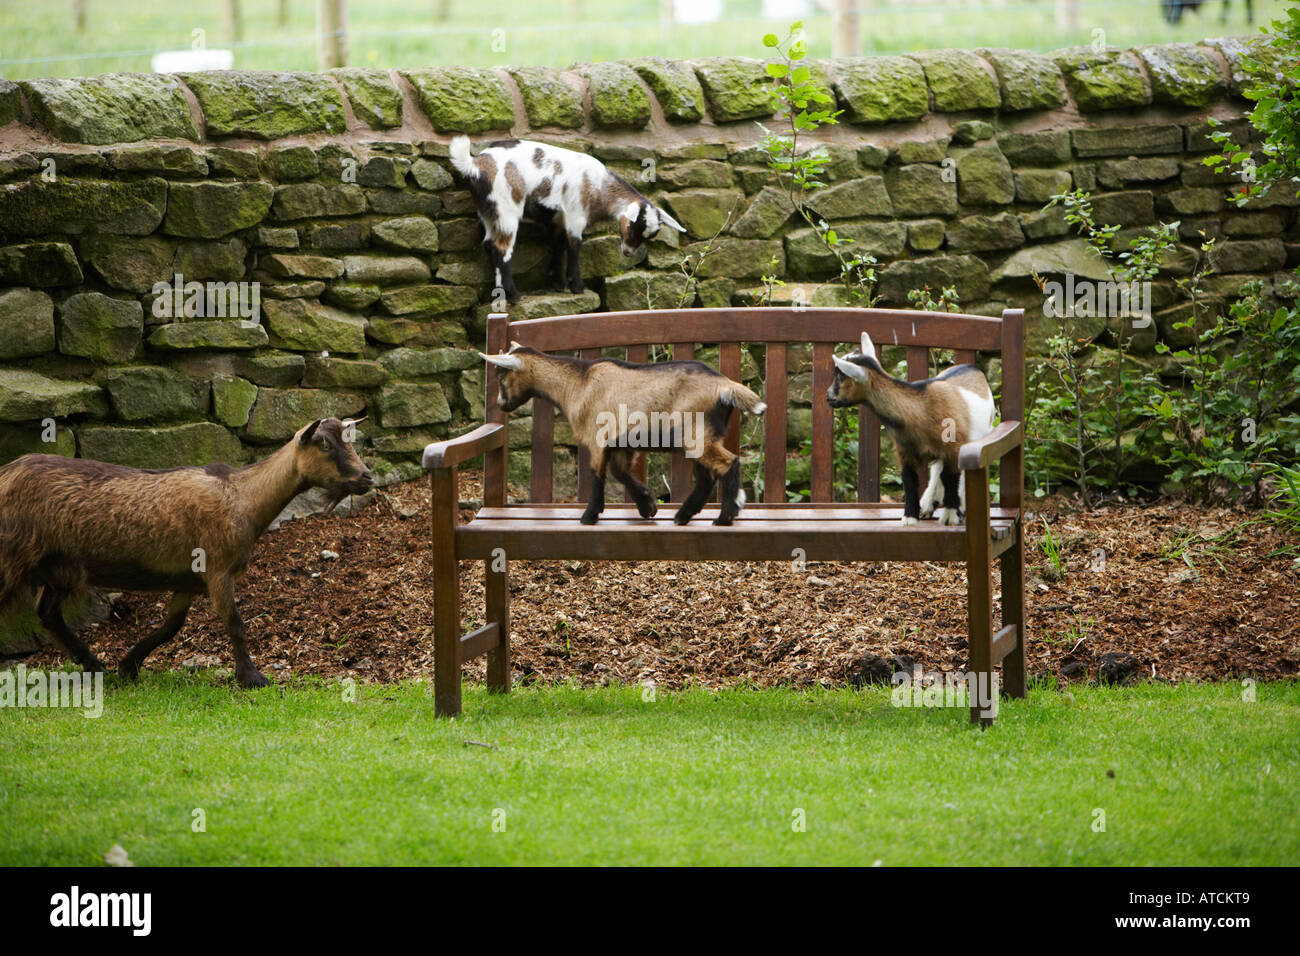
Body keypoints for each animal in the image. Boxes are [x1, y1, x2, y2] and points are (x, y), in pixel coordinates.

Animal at [0, 418, 372, 687]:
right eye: (324, 444)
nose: (367, 477)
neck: (243, 496)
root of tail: (7, 472)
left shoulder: (188, 579)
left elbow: (171, 627)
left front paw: (129, 666)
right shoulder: (218, 569)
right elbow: (235, 624)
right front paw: (252, 678)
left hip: (57, 564)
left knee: (48, 613)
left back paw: (94, 666)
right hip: (13, 555)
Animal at [449, 136, 685, 304]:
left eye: (650, 235)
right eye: (634, 225)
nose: (628, 253)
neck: (600, 187)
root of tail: (474, 164)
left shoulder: (558, 219)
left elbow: (558, 245)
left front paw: (558, 283)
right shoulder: (575, 216)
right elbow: (574, 246)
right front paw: (576, 286)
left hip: (489, 212)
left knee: (490, 245)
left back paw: (501, 293)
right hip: (506, 209)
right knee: (502, 249)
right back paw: (514, 295)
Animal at [480, 343, 765, 525]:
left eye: (501, 375)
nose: (501, 405)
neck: (577, 384)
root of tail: (726, 386)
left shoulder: (597, 438)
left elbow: (597, 475)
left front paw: (589, 516)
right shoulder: (621, 444)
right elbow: (621, 473)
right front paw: (647, 506)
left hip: (695, 435)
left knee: (728, 463)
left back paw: (725, 516)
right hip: (698, 437)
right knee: (707, 477)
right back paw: (683, 515)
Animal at [826, 331, 995, 526]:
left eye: (840, 377)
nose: (828, 397)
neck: (922, 409)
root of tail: (971, 367)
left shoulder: (954, 447)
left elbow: (950, 477)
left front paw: (951, 515)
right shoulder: (905, 451)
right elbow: (909, 480)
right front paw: (910, 517)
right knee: (936, 470)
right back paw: (928, 504)